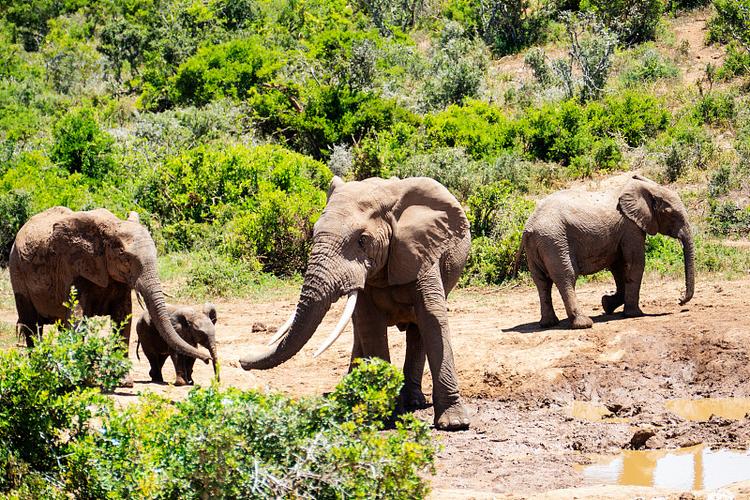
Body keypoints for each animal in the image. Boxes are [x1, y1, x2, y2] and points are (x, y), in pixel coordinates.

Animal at [9, 207, 212, 384]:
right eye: (124, 257)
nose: (208, 359)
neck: (111, 228)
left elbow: (123, 318)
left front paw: (124, 382)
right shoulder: (71, 268)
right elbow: (76, 318)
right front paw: (79, 380)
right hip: (17, 271)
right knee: (31, 325)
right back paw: (37, 371)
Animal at [240, 176, 472, 431]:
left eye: (362, 240)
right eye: (313, 234)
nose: (241, 360)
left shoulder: (419, 252)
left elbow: (432, 318)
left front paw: (454, 424)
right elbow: (370, 325)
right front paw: (388, 414)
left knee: (416, 330)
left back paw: (413, 401)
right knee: (358, 328)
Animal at [521, 174, 694, 329]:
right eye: (671, 215)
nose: (679, 300)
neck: (647, 188)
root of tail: (529, 228)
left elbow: (618, 267)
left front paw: (607, 304)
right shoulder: (630, 227)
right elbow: (635, 263)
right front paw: (633, 314)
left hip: (538, 246)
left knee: (542, 282)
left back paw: (549, 323)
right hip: (554, 241)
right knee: (566, 277)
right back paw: (584, 324)